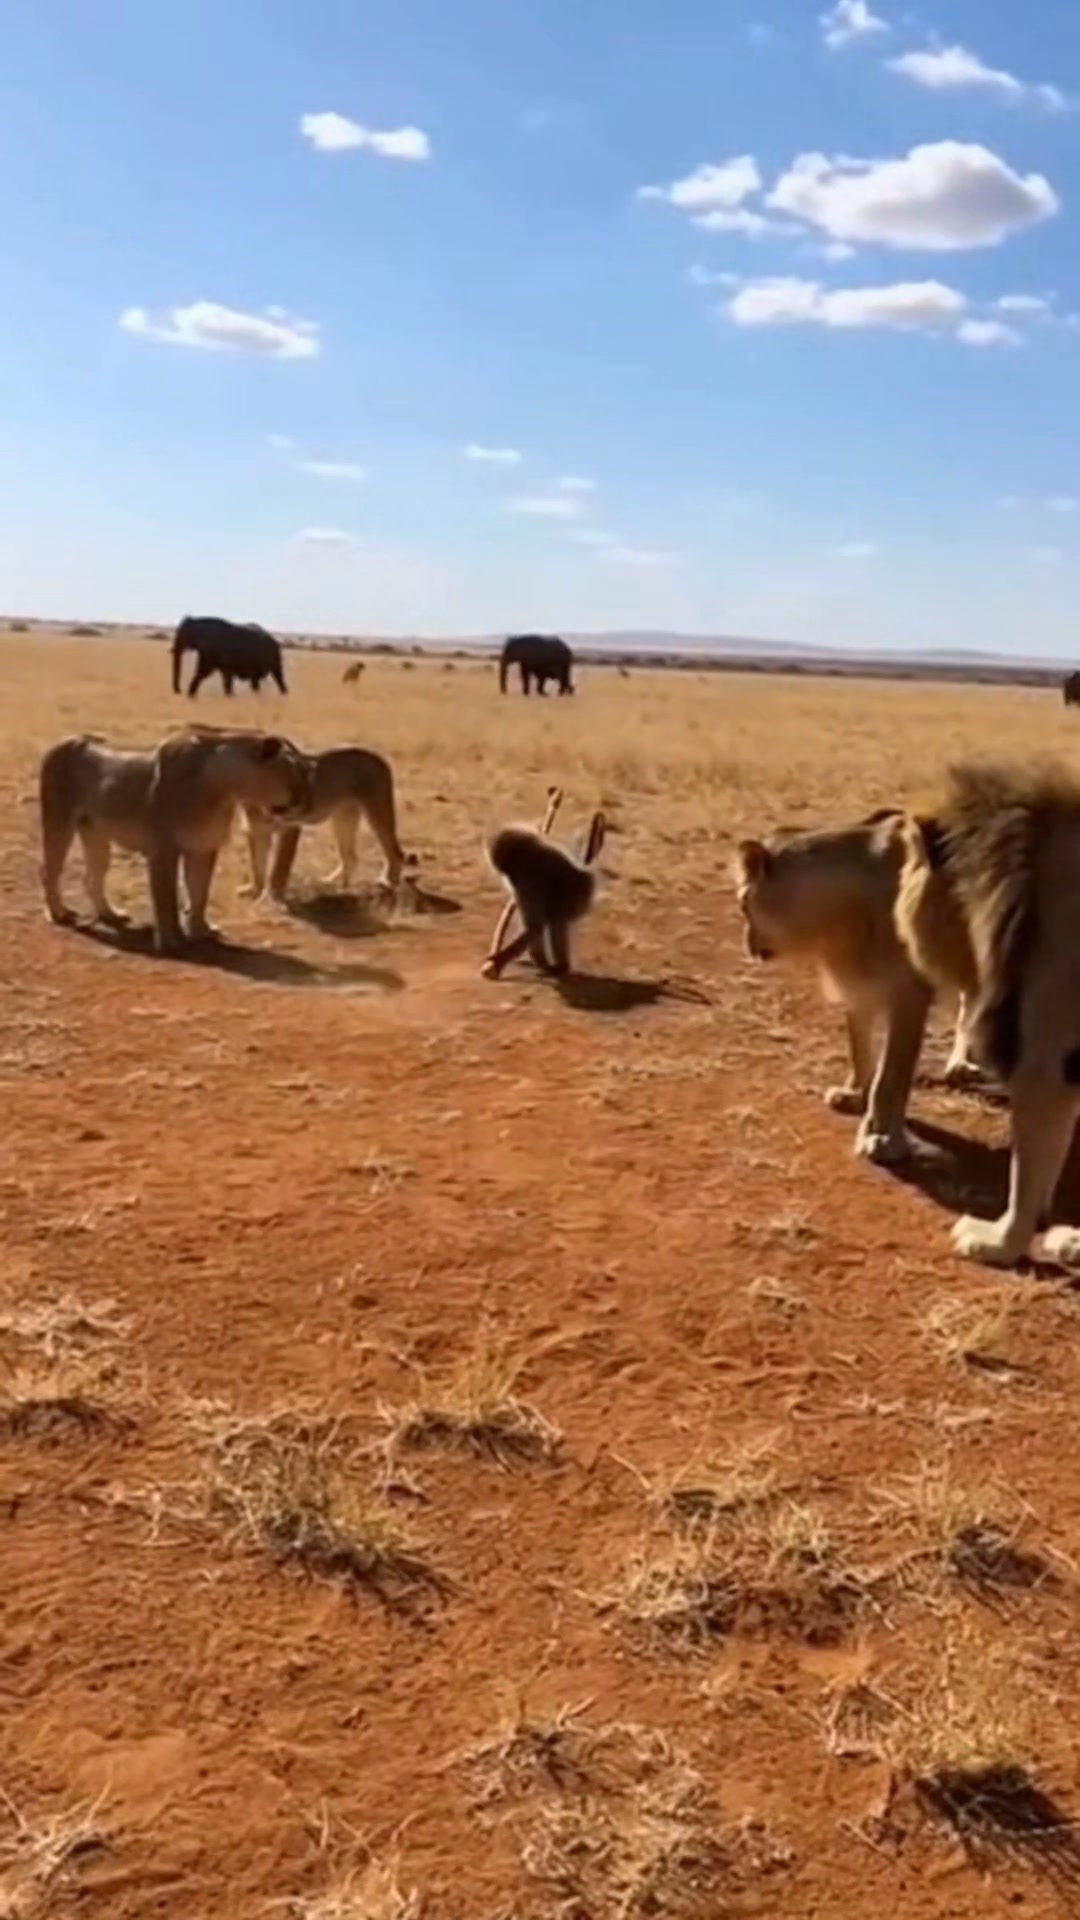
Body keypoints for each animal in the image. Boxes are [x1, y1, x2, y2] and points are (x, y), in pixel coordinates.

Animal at [40, 727, 312, 953]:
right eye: (293, 774)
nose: (301, 801)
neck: (222, 790)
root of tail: (64, 741)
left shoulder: (203, 848)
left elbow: (200, 892)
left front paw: (201, 931)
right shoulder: (163, 850)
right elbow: (165, 898)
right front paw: (170, 940)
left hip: (96, 835)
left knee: (92, 878)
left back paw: (111, 915)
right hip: (58, 821)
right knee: (49, 870)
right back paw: (59, 914)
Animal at [242, 744, 415, 904]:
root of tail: (378, 757)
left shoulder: (291, 828)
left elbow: (279, 866)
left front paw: (271, 896)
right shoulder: (254, 831)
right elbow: (256, 864)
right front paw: (253, 890)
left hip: (377, 811)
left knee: (394, 853)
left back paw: (387, 882)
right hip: (344, 817)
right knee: (351, 857)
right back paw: (336, 885)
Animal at [732, 809, 975, 1165]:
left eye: (744, 905)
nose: (747, 946)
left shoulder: (909, 994)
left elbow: (890, 1077)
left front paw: (882, 1137)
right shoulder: (857, 984)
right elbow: (858, 1047)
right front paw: (853, 1093)